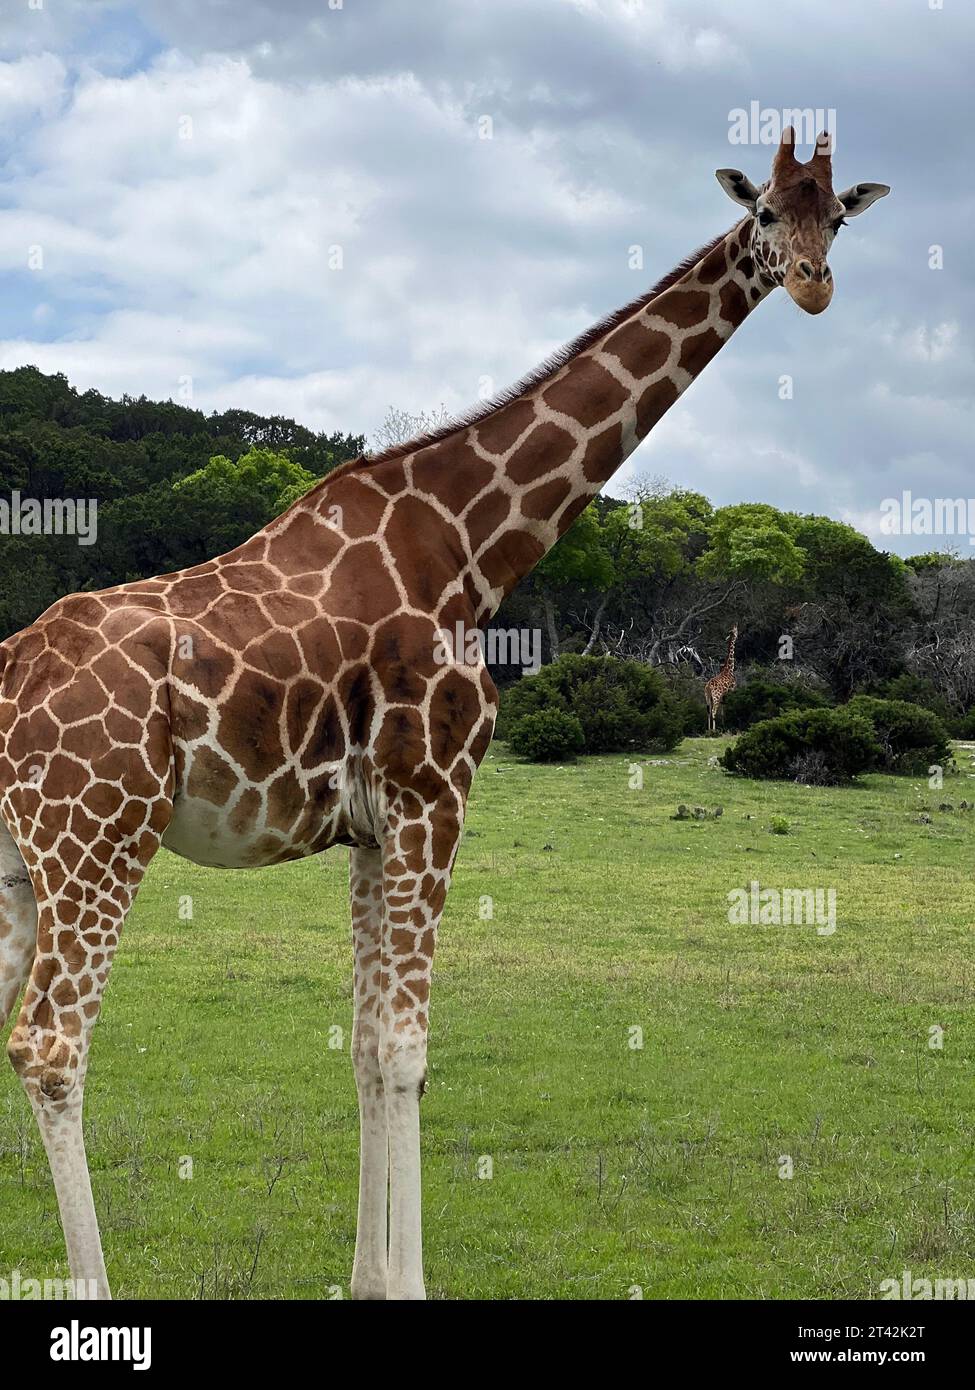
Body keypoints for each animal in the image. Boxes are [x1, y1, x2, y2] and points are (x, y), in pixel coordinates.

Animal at [0, 129, 888, 1300]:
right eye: (764, 216)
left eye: (836, 216)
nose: (815, 285)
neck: (477, 545)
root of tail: (12, 673)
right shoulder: (436, 794)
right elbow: (410, 1049)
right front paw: (407, 1282)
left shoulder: (373, 826)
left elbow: (367, 1047)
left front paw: (369, 1278)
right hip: (97, 835)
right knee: (52, 1046)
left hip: (20, 858)